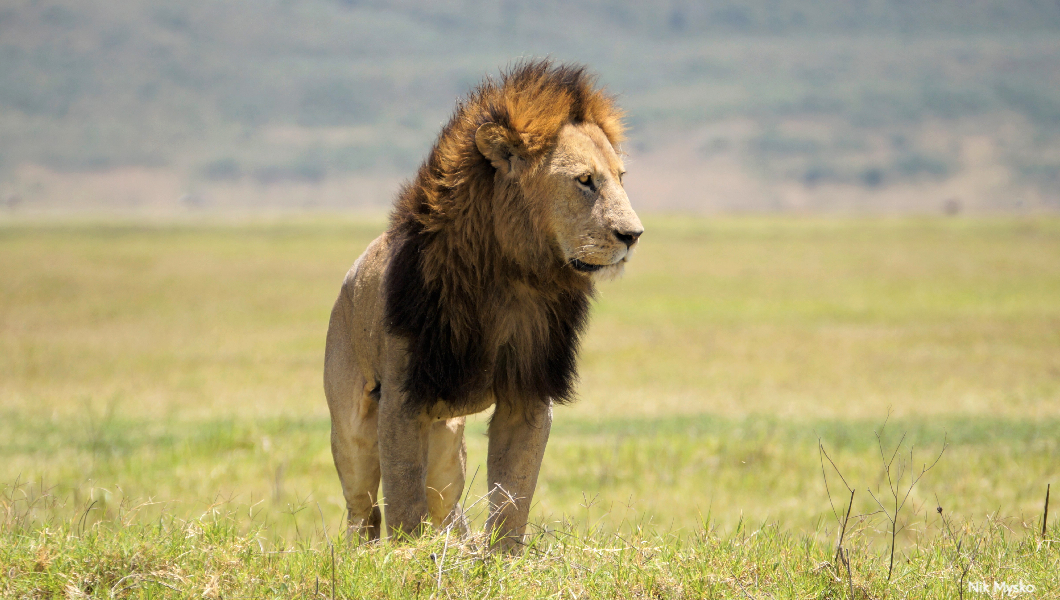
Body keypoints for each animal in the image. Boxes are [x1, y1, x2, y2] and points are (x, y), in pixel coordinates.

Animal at [324, 60, 642, 551]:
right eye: (585, 180)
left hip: (446, 446)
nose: (633, 235)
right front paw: (406, 556)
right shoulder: (403, 397)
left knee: (444, 505)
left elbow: (514, 494)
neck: (513, 278)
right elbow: (402, 496)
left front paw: (502, 558)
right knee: (364, 508)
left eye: (620, 178)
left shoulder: (528, 391)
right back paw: (365, 553)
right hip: (353, 430)